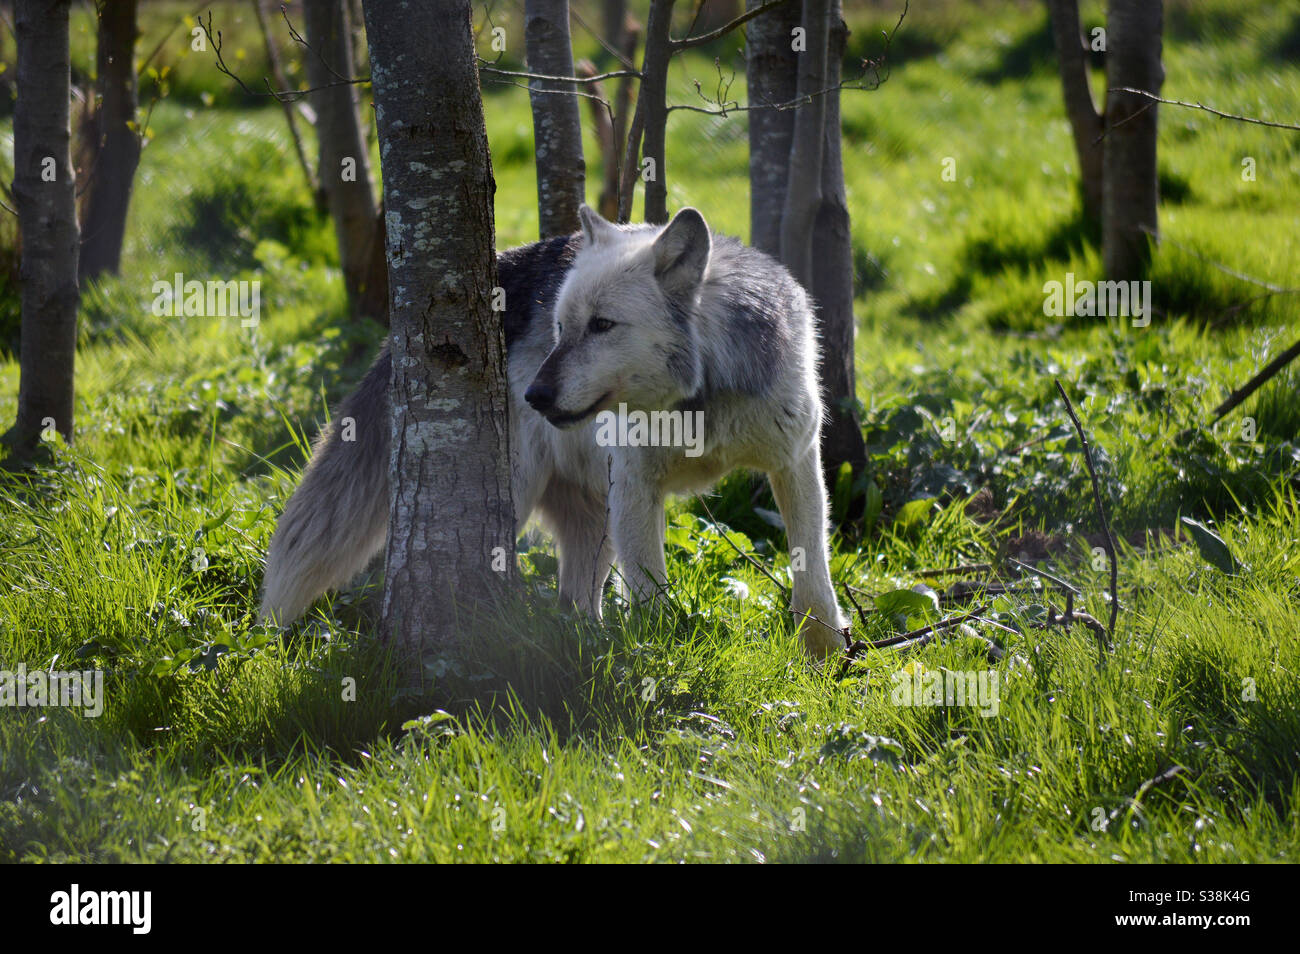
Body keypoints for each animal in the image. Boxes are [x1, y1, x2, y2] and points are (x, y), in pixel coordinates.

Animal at [260, 205, 849, 658]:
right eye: (561, 328)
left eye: (603, 326)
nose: (534, 396)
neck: (697, 400)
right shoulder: (636, 487)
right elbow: (650, 593)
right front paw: (658, 658)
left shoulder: (795, 465)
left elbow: (812, 575)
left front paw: (826, 659)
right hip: (523, 500)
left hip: (597, 520)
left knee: (578, 603)